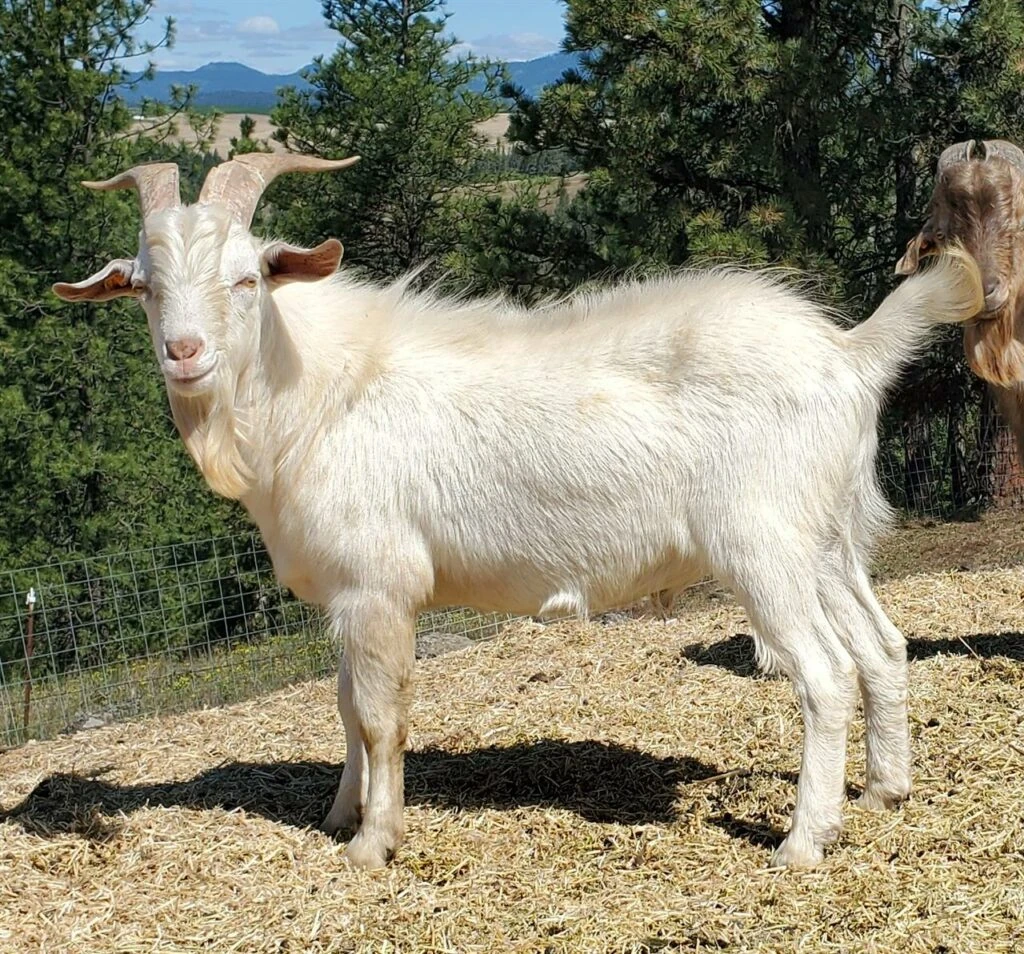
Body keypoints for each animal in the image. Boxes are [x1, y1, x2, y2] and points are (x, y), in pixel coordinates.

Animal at [54, 156, 984, 871]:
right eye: (145, 287)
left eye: (246, 279)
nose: (184, 353)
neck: (317, 391)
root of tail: (849, 353)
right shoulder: (346, 595)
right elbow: (346, 707)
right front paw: (339, 814)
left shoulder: (380, 585)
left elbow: (381, 716)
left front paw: (373, 844)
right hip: (826, 537)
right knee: (880, 646)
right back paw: (886, 789)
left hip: (762, 543)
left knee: (824, 674)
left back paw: (804, 841)